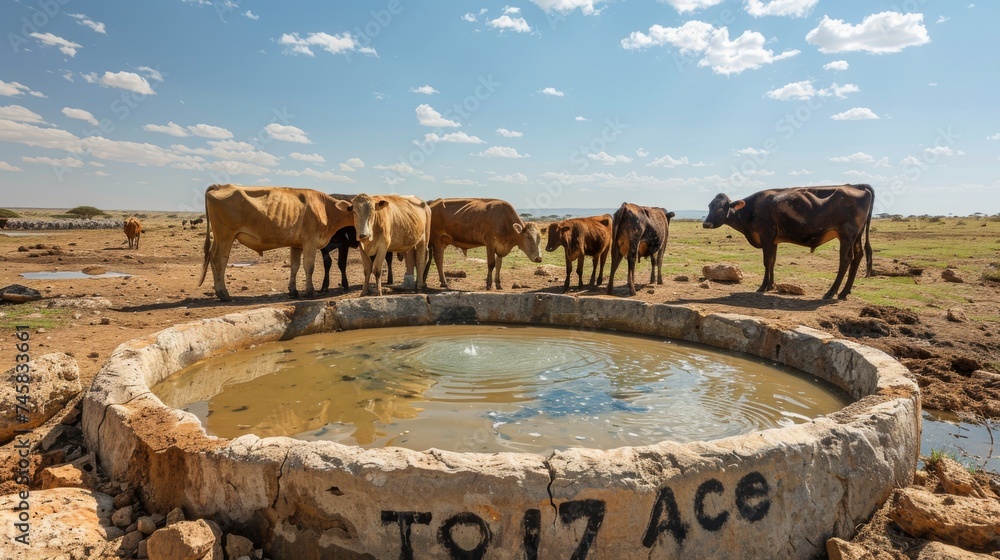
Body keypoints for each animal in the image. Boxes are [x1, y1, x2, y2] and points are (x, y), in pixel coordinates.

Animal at [198, 184, 354, 301]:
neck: (326, 208)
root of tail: (220, 186)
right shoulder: (310, 240)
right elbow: (309, 266)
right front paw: (310, 292)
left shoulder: (296, 244)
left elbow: (294, 266)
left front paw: (293, 291)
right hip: (225, 235)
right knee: (219, 259)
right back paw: (223, 293)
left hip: (219, 237)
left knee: (212, 256)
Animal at [702, 184, 875, 300]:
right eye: (710, 206)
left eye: (722, 207)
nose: (706, 224)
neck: (752, 209)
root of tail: (855, 186)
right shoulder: (773, 240)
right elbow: (772, 261)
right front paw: (770, 285)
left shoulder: (766, 235)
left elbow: (766, 261)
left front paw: (762, 286)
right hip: (856, 236)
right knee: (858, 256)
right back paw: (844, 292)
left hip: (846, 235)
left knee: (845, 260)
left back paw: (831, 292)